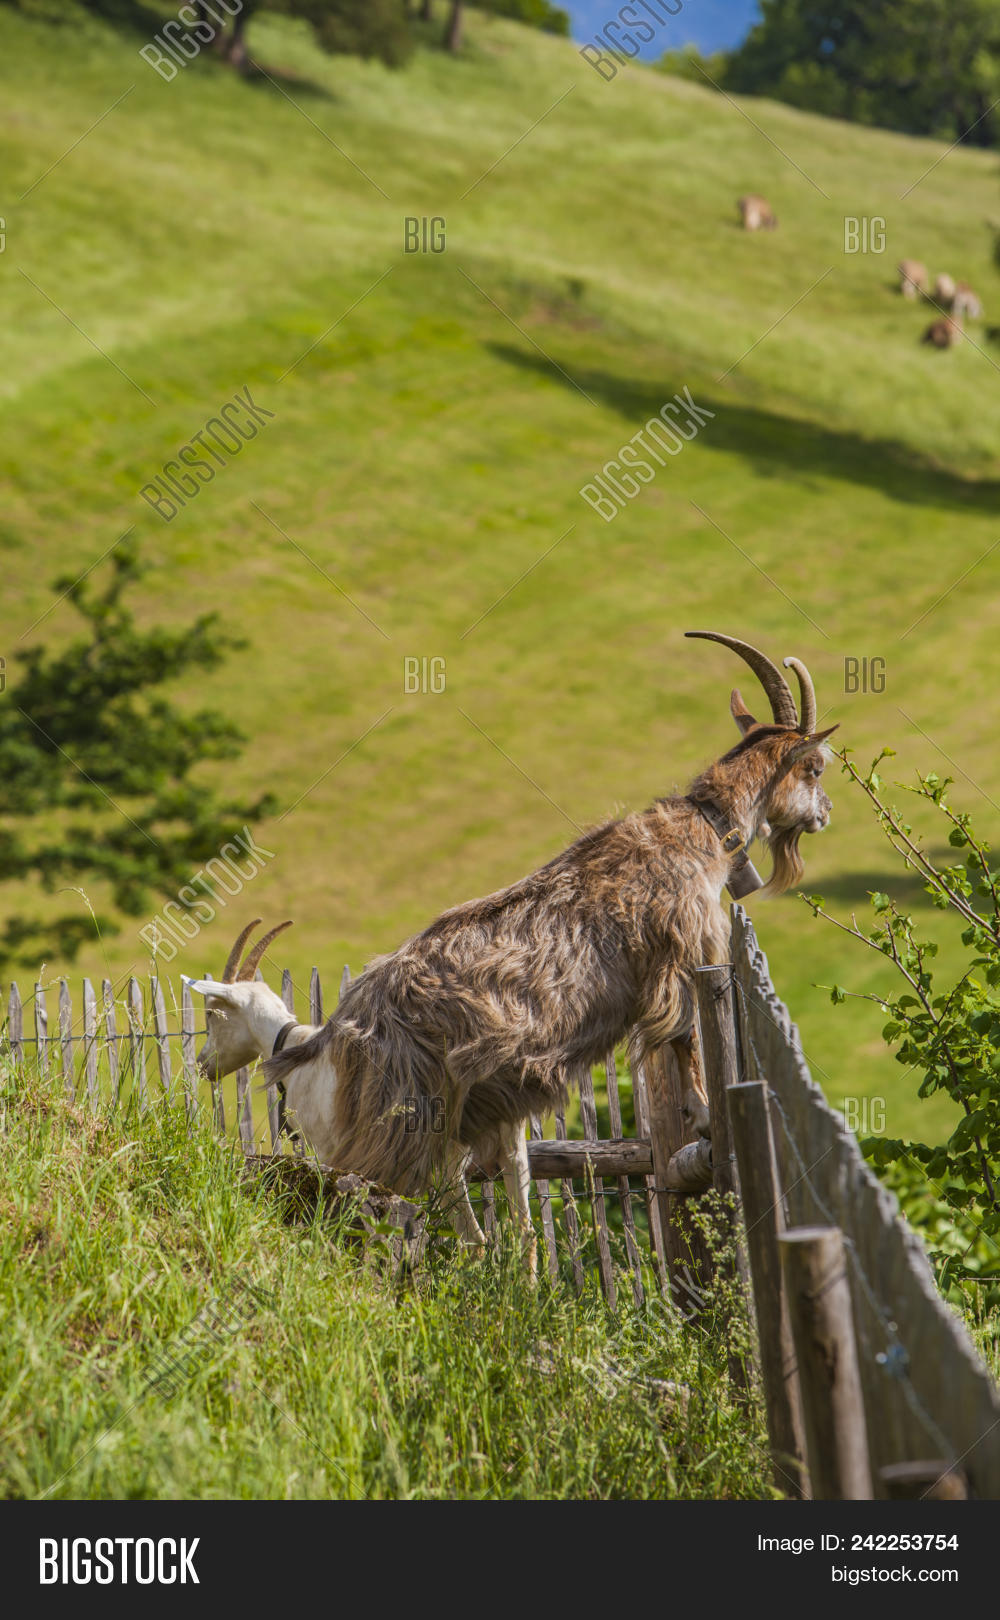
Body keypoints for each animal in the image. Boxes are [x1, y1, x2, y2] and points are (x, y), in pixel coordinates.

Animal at [187, 635, 836, 1261]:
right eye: (815, 769)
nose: (825, 815)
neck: (701, 831)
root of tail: (346, 1023)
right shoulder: (681, 949)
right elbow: (682, 1037)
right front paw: (701, 1117)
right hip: (408, 1115)